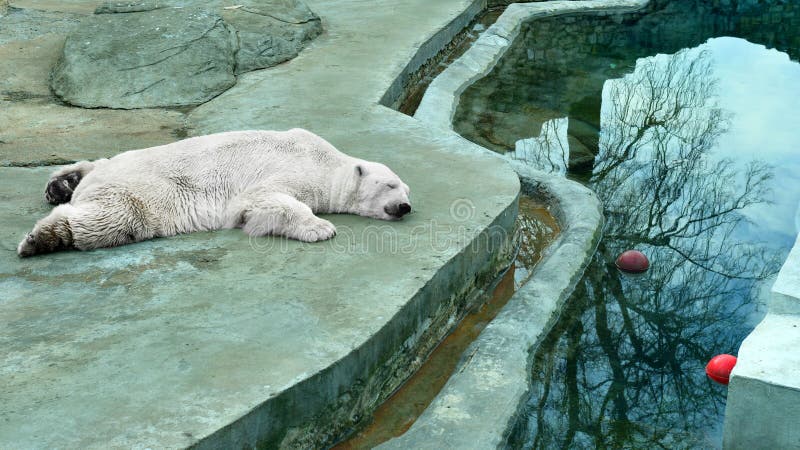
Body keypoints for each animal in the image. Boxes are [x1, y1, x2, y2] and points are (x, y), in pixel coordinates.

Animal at [17, 128, 412, 257]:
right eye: (391, 185)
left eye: (407, 189)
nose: (404, 206)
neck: (328, 163)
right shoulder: (293, 169)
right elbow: (263, 200)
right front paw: (320, 228)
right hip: (143, 189)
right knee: (114, 218)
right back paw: (39, 238)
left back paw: (61, 188)